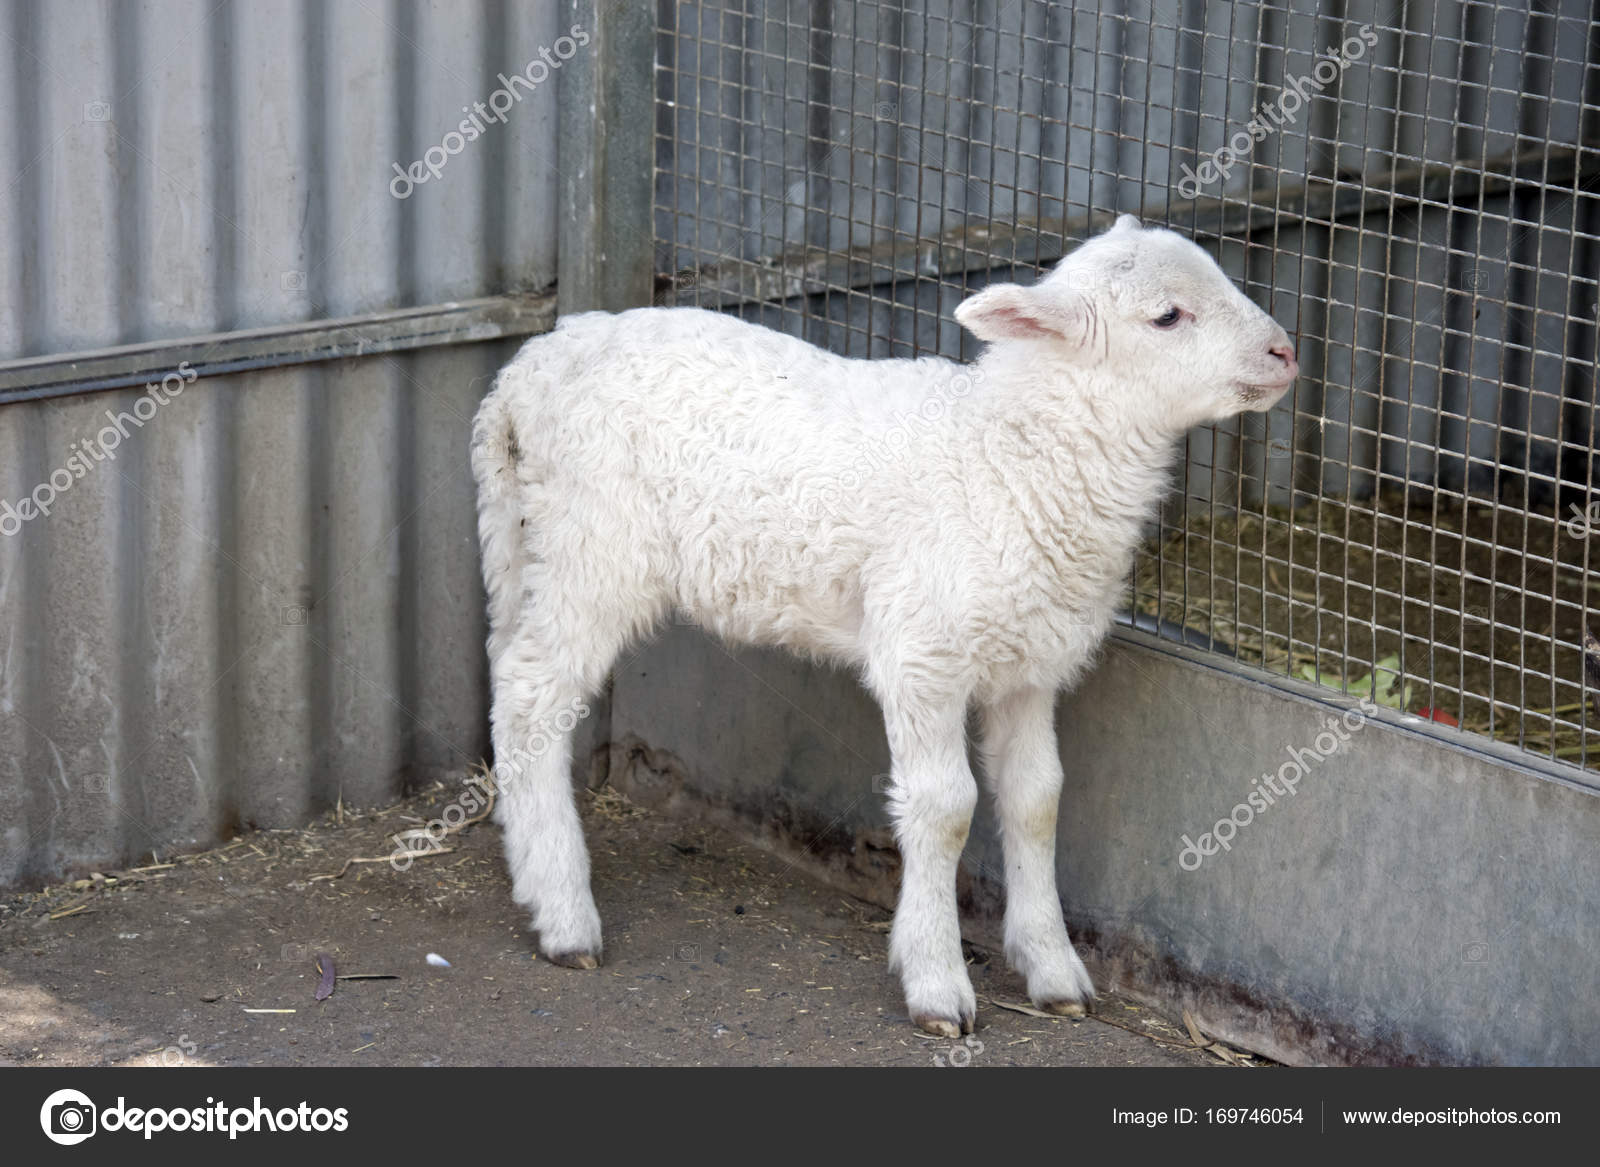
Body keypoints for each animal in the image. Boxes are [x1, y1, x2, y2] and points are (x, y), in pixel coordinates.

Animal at [470, 214, 1298, 1038]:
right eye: (1167, 317)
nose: (1286, 352)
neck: (1007, 454)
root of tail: (531, 368)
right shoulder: (922, 652)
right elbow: (947, 808)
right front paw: (936, 978)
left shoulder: (1027, 661)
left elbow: (1036, 800)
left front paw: (1052, 965)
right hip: (592, 551)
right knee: (530, 696)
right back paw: (564, 913)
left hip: (528, 542)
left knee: (508, 668)